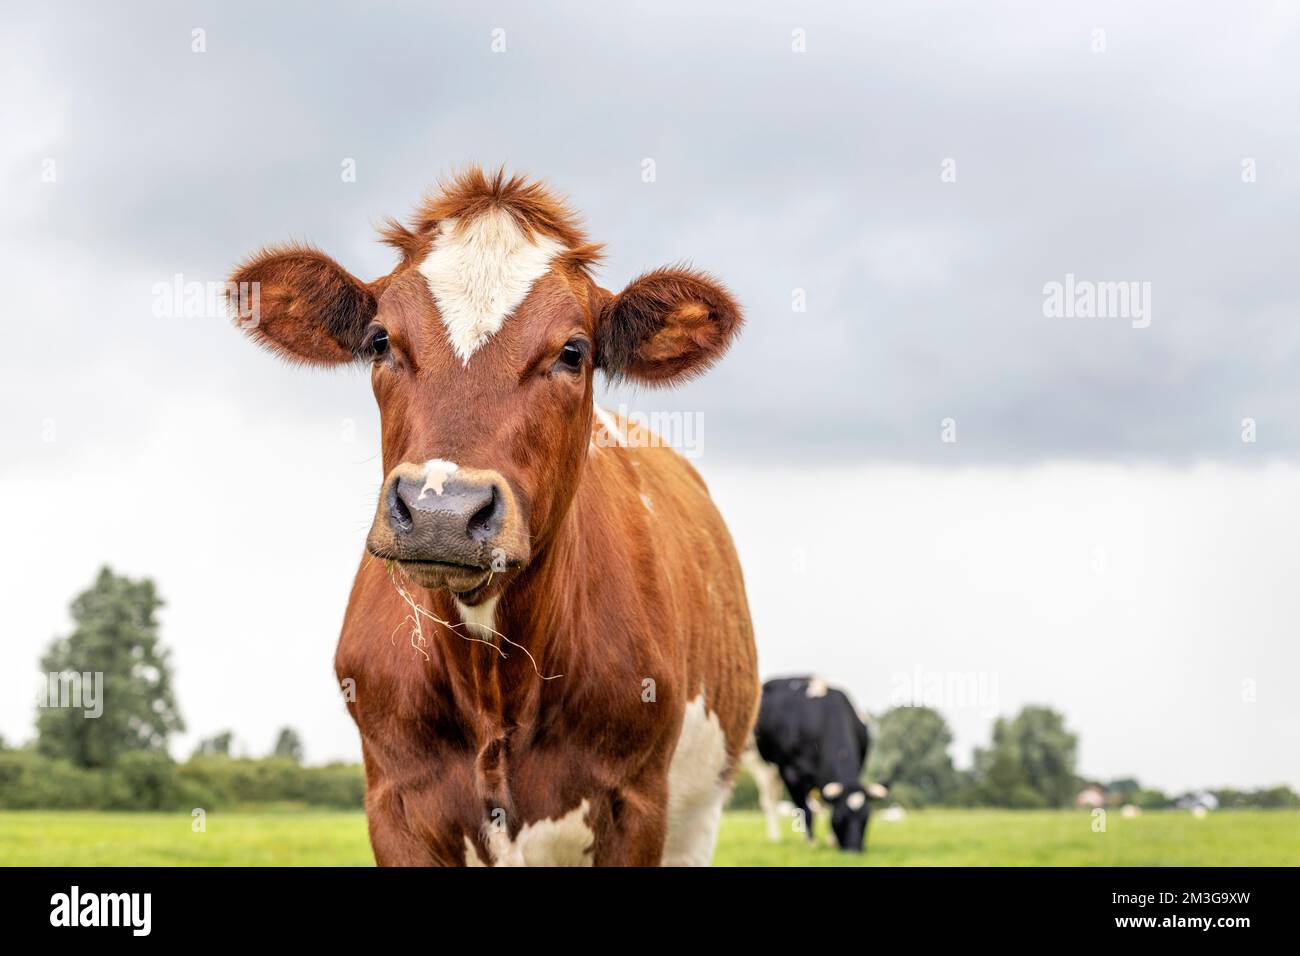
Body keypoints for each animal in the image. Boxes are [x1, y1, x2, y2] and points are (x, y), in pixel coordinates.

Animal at [228, 167, 759, 866]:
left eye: (573, 351)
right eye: (380, 340)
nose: (441, 510)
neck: (492, 684)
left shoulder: (640, 804)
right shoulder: (393, 803)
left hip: (698, 818)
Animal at [745, 676, 885, 852]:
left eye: (866, 818)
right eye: (840, 818)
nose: (854, 850)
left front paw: (832, 840)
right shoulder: (791, 772)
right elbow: (804, 809)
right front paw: (811, 841)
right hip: (761, 764)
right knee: (769, 800)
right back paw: (775, 837)